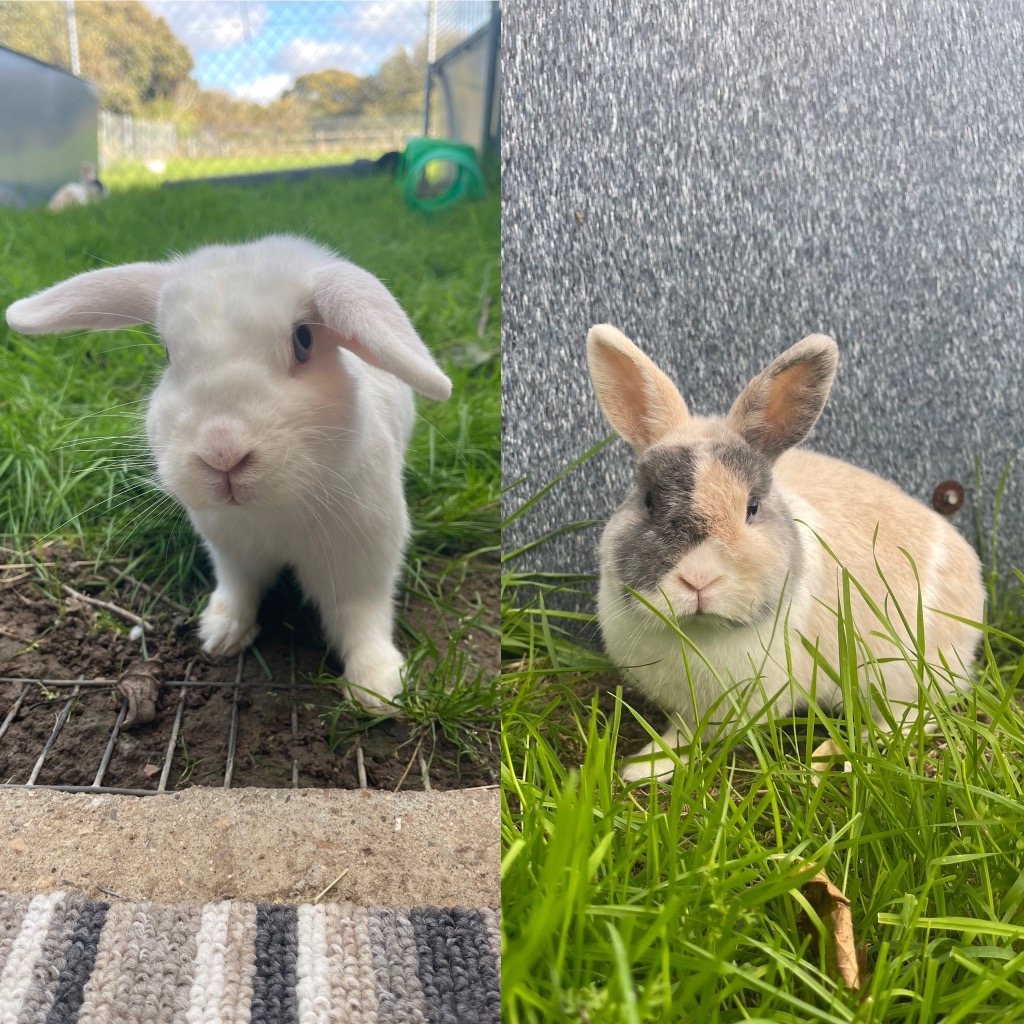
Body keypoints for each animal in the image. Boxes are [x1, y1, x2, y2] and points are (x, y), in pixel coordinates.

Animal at [6, 235, 452, 713]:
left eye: (303, 339)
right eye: (167, 354)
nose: (222, 452)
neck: (272, 511)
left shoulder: (362, 559)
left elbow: (361, 615)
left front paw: (376, 689)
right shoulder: (232, 552)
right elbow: (239, 589)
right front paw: (220, 635)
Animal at [587, 324, 985, 781]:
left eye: (753, 507)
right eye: (649, 501)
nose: (699, 579)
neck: (700, 630)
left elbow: (696, 737)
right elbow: (681, 733)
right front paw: (643, 768)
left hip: (904, 675)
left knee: (917, 716)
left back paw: (850, 748)